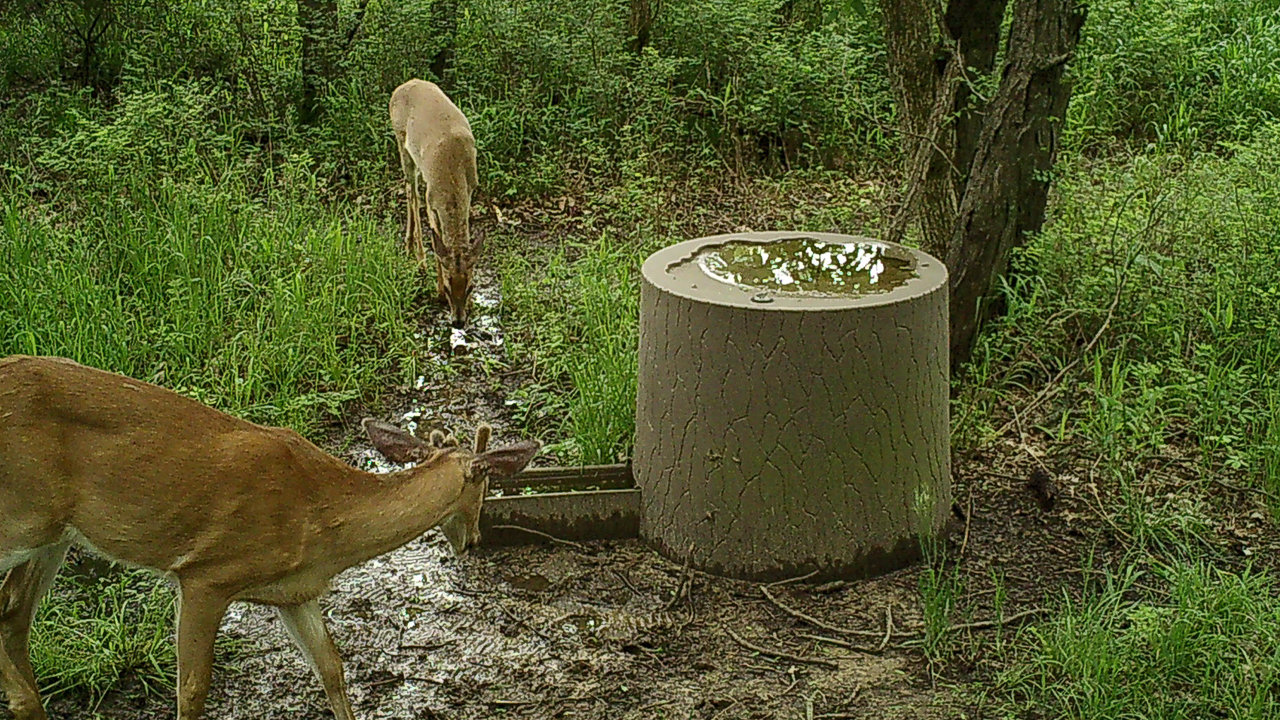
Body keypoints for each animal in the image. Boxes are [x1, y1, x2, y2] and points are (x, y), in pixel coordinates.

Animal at [0, 355, 540, 720]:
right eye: (487, 487)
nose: (473, 539)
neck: (321, 520)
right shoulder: (206, 573)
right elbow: (192, 689)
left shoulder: (295, 593)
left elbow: (332, 669)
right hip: (21, 518)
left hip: (53, 536)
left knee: (13, 613)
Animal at [390, 79, 486, 329]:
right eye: (450, 288)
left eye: (470, 286)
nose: (458, 322)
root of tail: (404, 84)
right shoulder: (432, 197)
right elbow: (436, 237)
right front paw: (438, 290)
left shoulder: (471, 190)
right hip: (400, 139)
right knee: (411, 190)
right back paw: (418, 258)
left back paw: (409, 245)